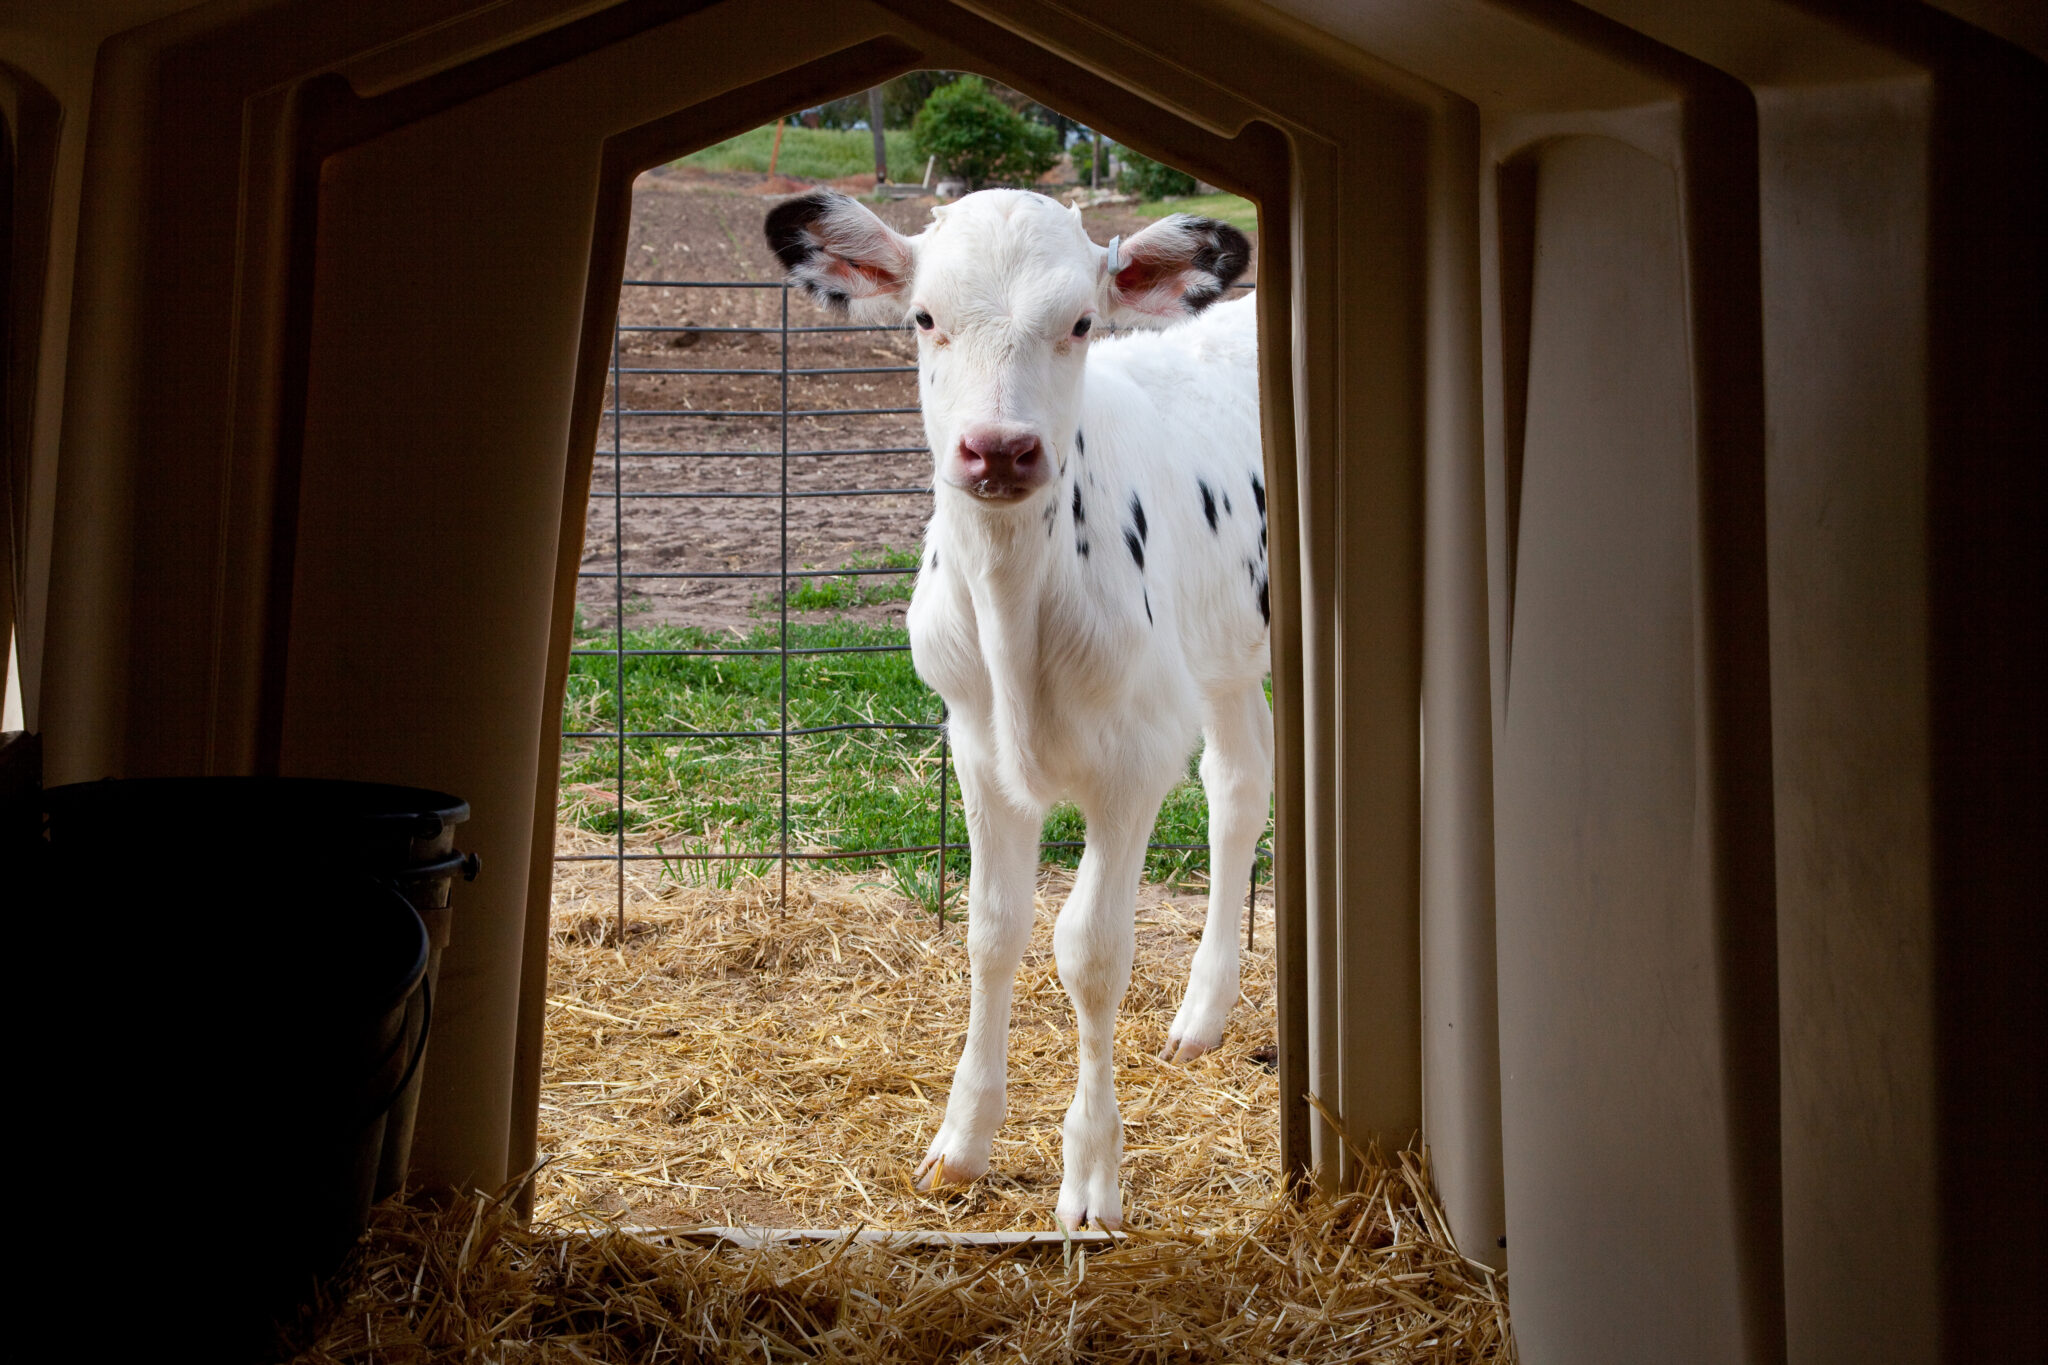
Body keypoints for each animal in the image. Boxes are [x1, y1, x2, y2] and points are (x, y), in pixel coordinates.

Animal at [765, 188, 1268, 1230]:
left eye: (1079, 322)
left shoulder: (1134, 759)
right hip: (1224, 656)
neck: (1013, 613)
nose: (999, 447)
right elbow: (992, 928)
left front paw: (1093, 1179)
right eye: (924, 318)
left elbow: (1091, 951)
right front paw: (962, 1142)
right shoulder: (976, 744)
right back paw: (1202, 1016)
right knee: (1241, 788)